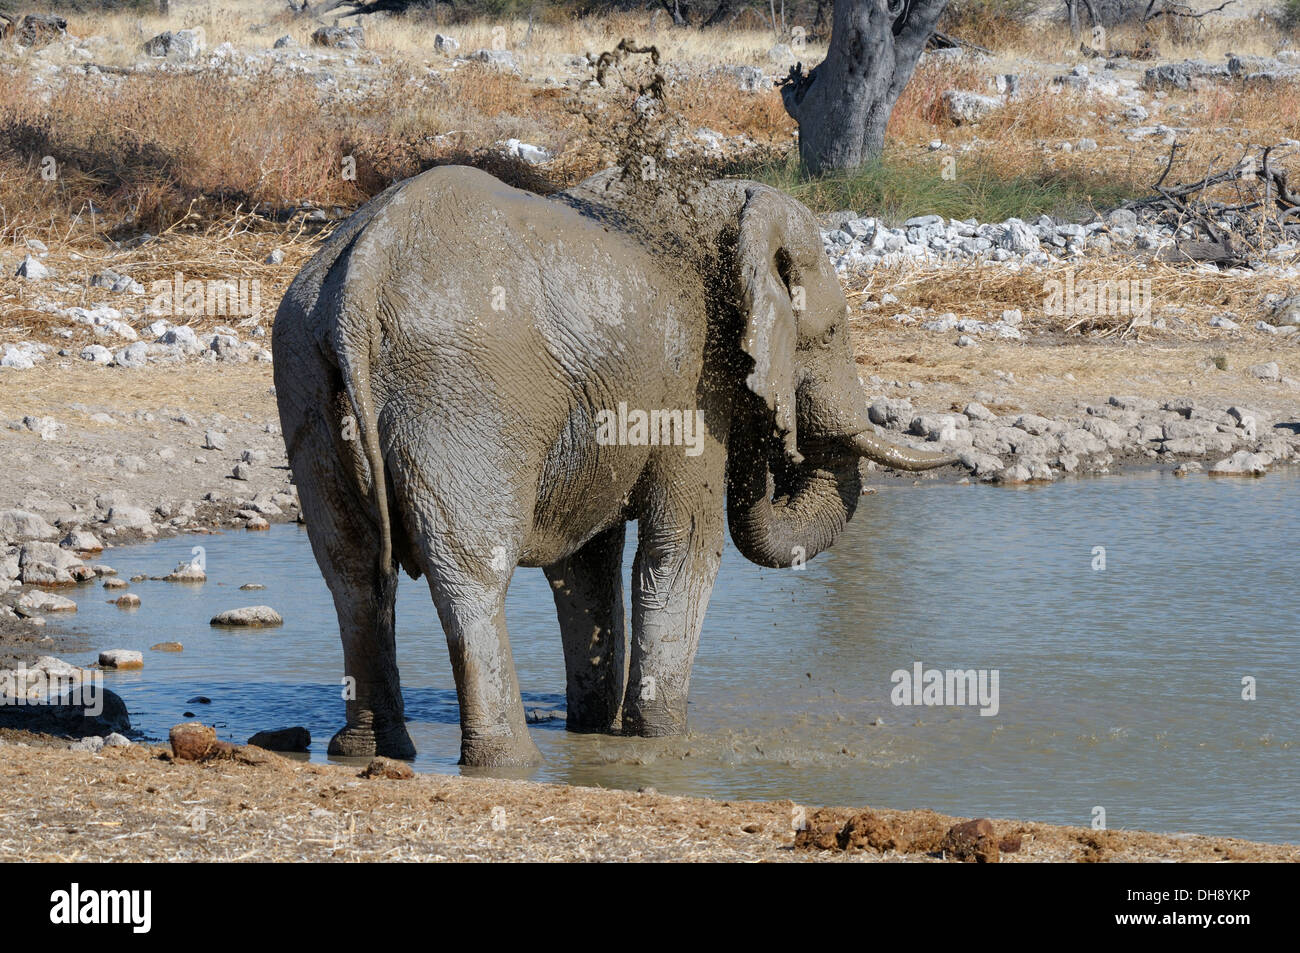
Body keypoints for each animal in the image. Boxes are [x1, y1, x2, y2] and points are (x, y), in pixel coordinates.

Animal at [272, 163, 954, 767]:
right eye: (833, 330)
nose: (773, 443)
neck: (723, 207)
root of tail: (360, 276)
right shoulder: (692, 389)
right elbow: (682, 548)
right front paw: (664, 739)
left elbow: (585, 563)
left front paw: (595, 730)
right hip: (461, 390)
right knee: (470, 569)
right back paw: (508, 761)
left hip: (305, 372)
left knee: (352, 573)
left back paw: (372, 750)